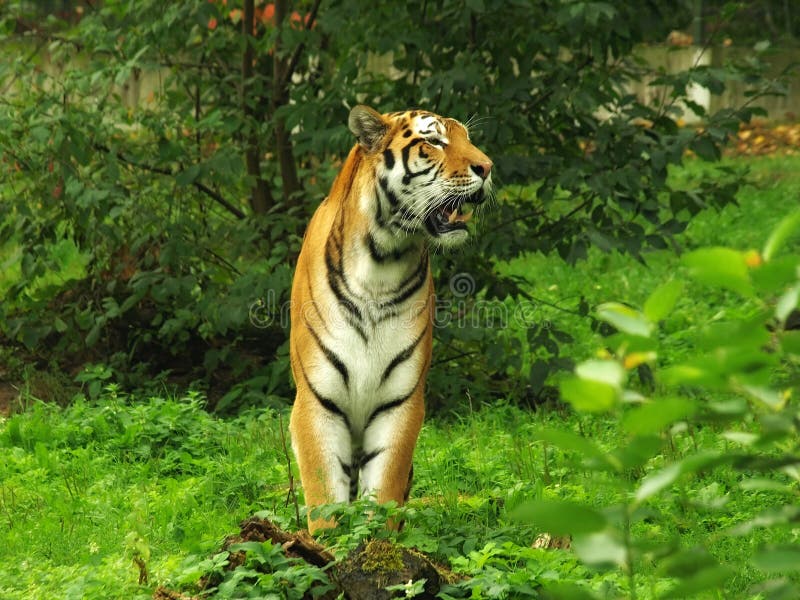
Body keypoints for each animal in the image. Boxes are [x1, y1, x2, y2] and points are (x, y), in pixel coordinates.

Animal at [289, 105, 493, 533]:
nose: (488, 167)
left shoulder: (400, 400)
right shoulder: (317, 400)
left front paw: (375, 545)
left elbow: (383, 491)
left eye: (468, 139)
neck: (381, 261)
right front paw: (325, 547)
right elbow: (324, 497)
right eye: (435, 141)